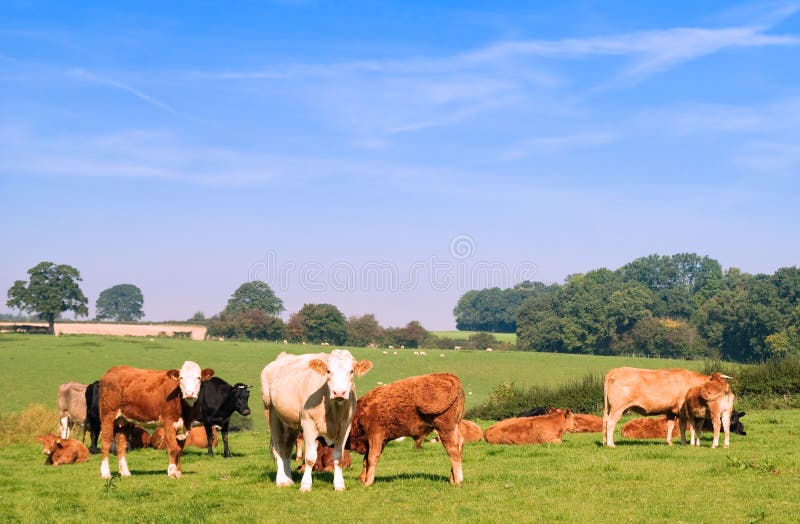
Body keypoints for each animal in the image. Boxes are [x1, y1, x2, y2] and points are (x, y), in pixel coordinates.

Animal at [261, 350, 372, 492]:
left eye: (351, 371)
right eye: (328, 371)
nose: (339, 392)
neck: (334, 410)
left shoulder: (345, 427)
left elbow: (338, 457)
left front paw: (339, 485)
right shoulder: (308, 425)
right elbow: (310, 458)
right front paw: (305, 485)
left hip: (289, 423)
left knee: (287, 449)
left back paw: (289, 479)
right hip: (271, 414)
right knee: (278, 448)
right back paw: (281, 480)